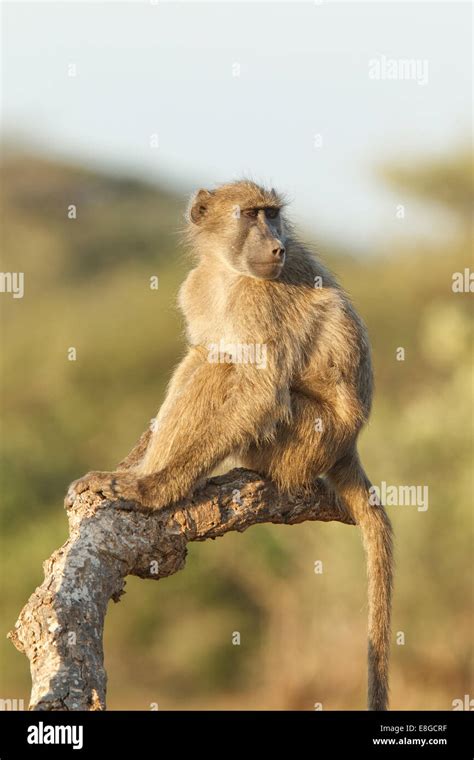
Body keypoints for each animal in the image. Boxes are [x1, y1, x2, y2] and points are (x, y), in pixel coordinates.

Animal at [66, 180, 393, 711]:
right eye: (251, 215)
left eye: (273, 215)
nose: (277, 247)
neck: (226, 271)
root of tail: (349, 447)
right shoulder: (197, 288)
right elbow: (200, 354)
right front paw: (136, 475)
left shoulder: (261, 299)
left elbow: (258, 388)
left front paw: (152, 489)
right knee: (210, 360)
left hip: (307, 439)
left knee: (224, 369)